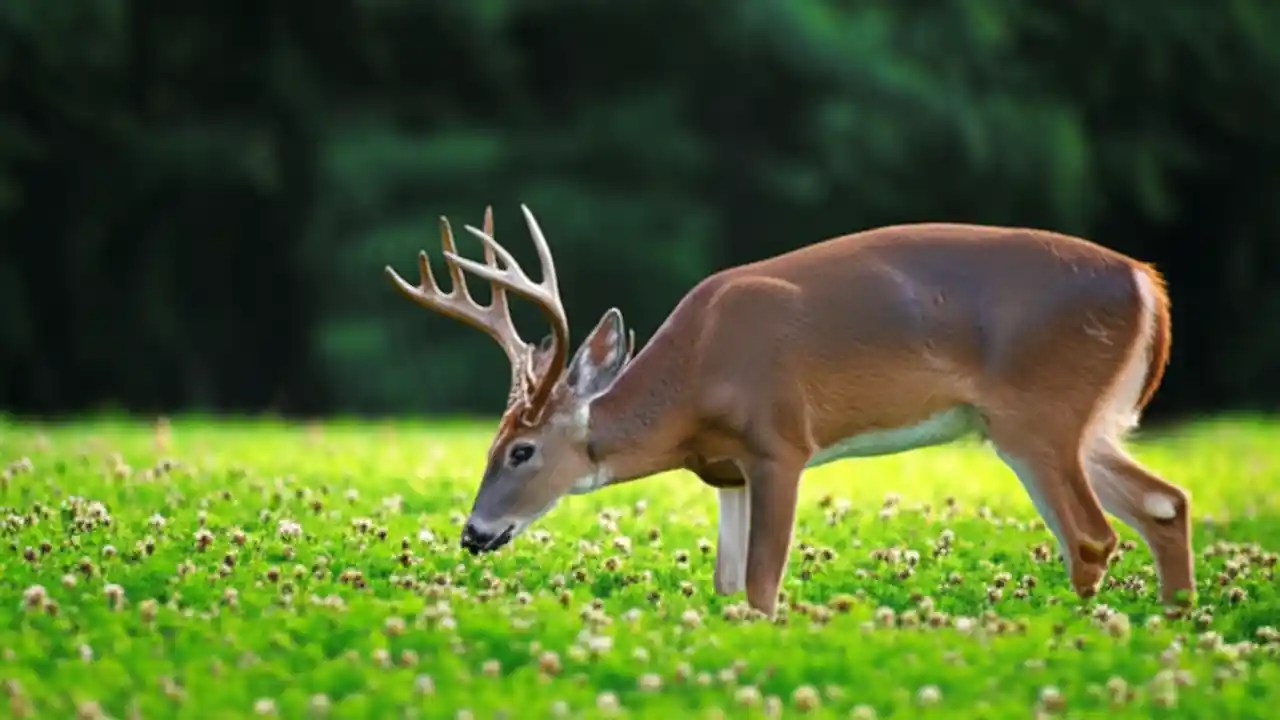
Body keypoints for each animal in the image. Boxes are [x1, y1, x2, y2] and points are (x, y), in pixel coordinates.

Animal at [384, 204, 1194, 616]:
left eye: (520, 451)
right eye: (489, 447)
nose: (473, 533)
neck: (696, 383)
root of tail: (1148, 283)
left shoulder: (780, 443)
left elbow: (762, 587)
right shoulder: (727, 474)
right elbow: (727, 588)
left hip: (1039, 414)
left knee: (1091, 536)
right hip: (1083, 422)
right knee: (1165, 502)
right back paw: (1171, 621)